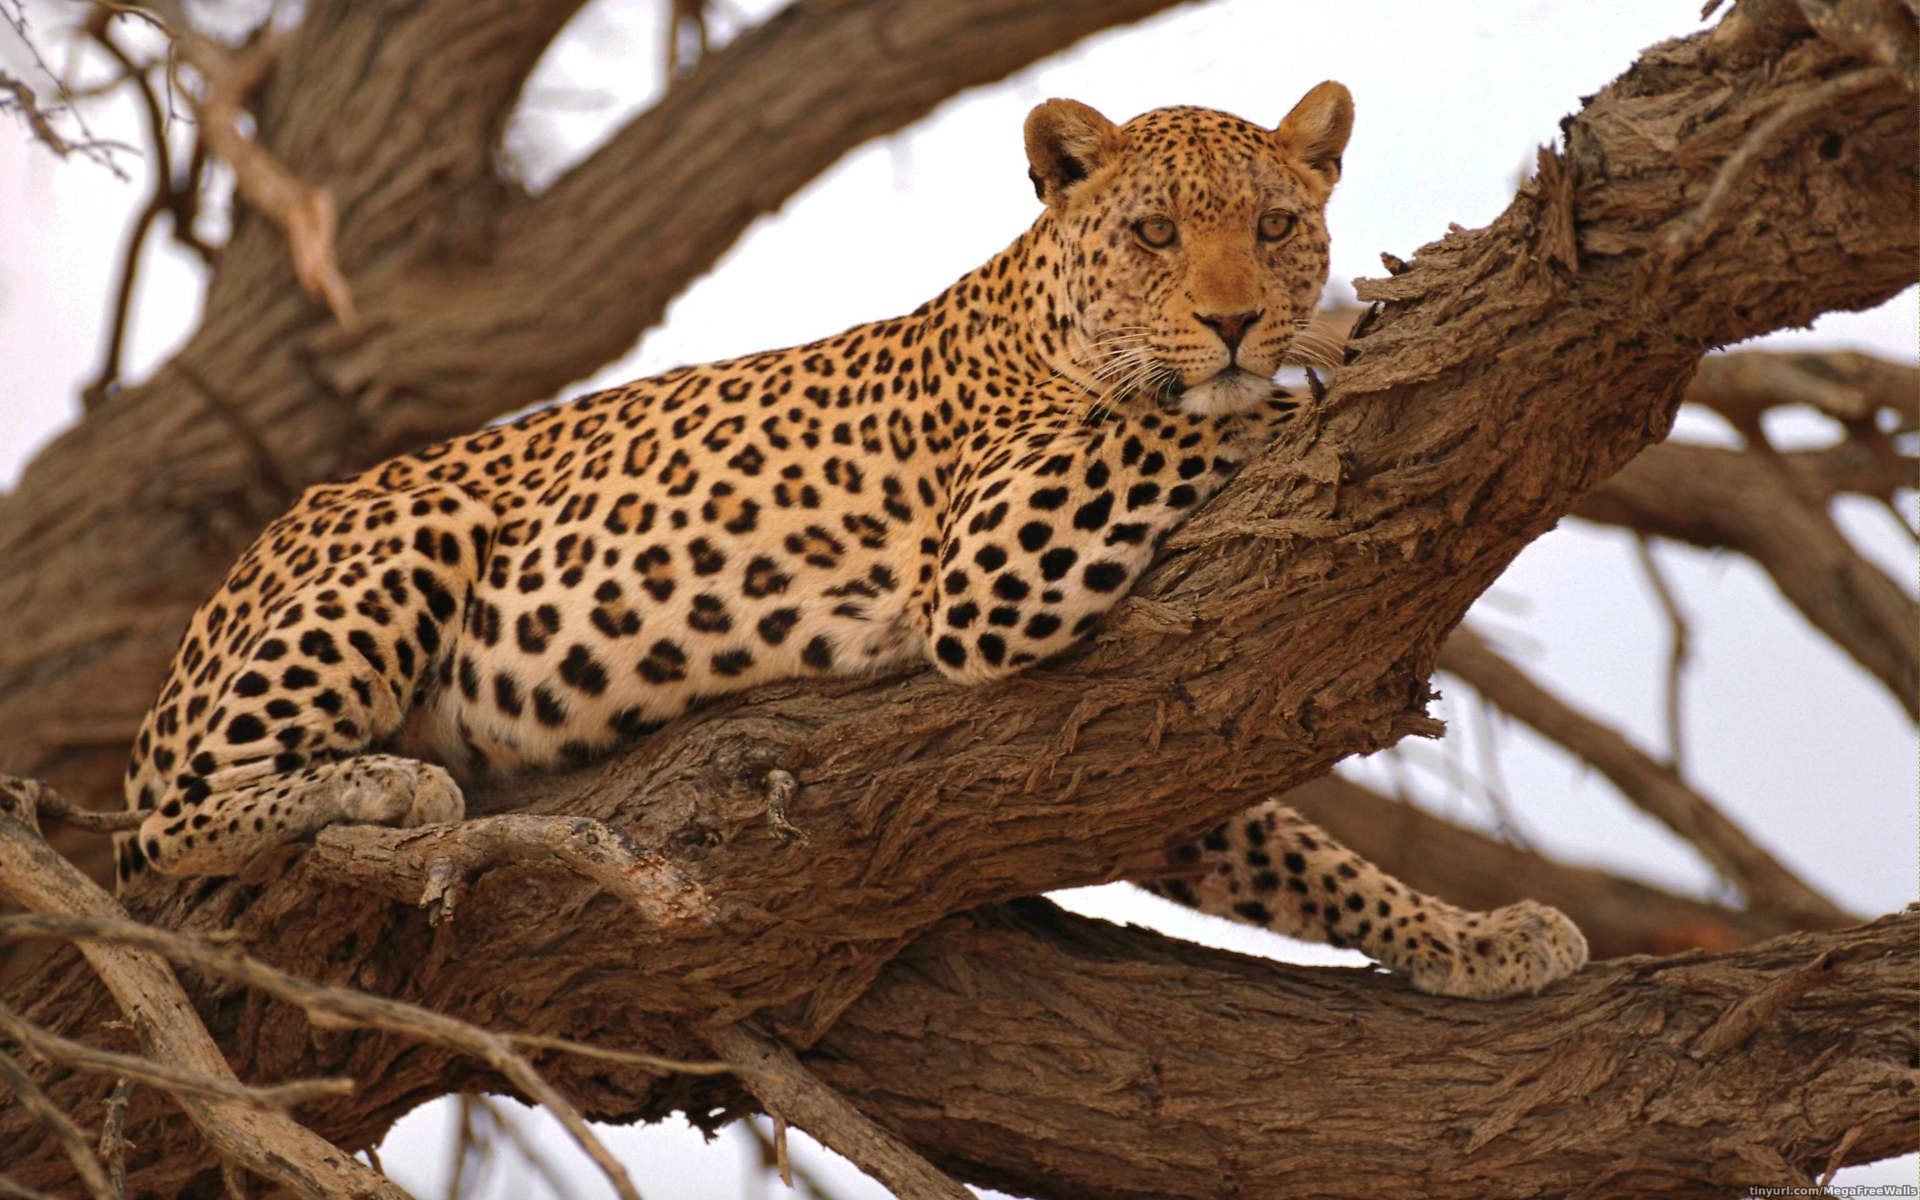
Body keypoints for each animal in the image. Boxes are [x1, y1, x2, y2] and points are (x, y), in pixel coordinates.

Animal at [117, 81, 1586, 1000]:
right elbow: (1189, 415)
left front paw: (1479, 939)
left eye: (1277, 225)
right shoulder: (995, 559)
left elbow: (1296, 855)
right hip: (406, 535)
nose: (1234, 320)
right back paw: (386, 787)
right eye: (1155, 232)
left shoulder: (1157, 757)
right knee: (175, 824)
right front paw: (1336, 357)